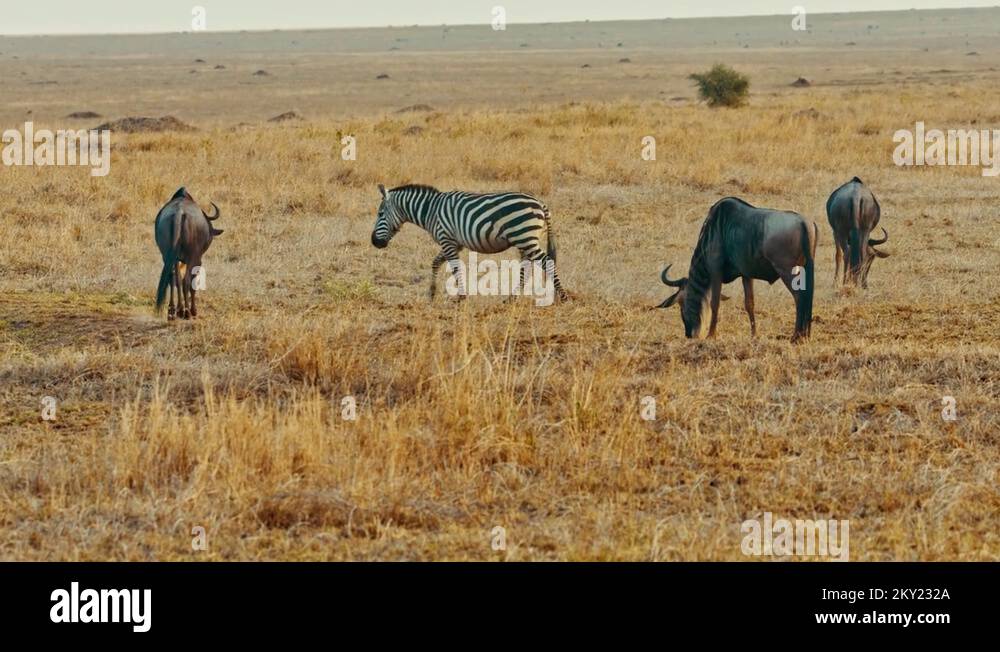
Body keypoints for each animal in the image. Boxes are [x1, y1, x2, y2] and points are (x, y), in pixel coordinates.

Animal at [370, 184, 568, 302]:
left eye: (380, 214)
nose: (374, 242)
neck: (431, 210)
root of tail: (541, 204)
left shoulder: (447, 239)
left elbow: (455, 267)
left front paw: (461, 296)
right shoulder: (454, 242)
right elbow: (436, 262)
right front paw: (432, 292)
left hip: (524, 236)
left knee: (547, 262)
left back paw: (563, 296)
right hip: (525, 240)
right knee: (527, 267)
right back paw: (512, 298)